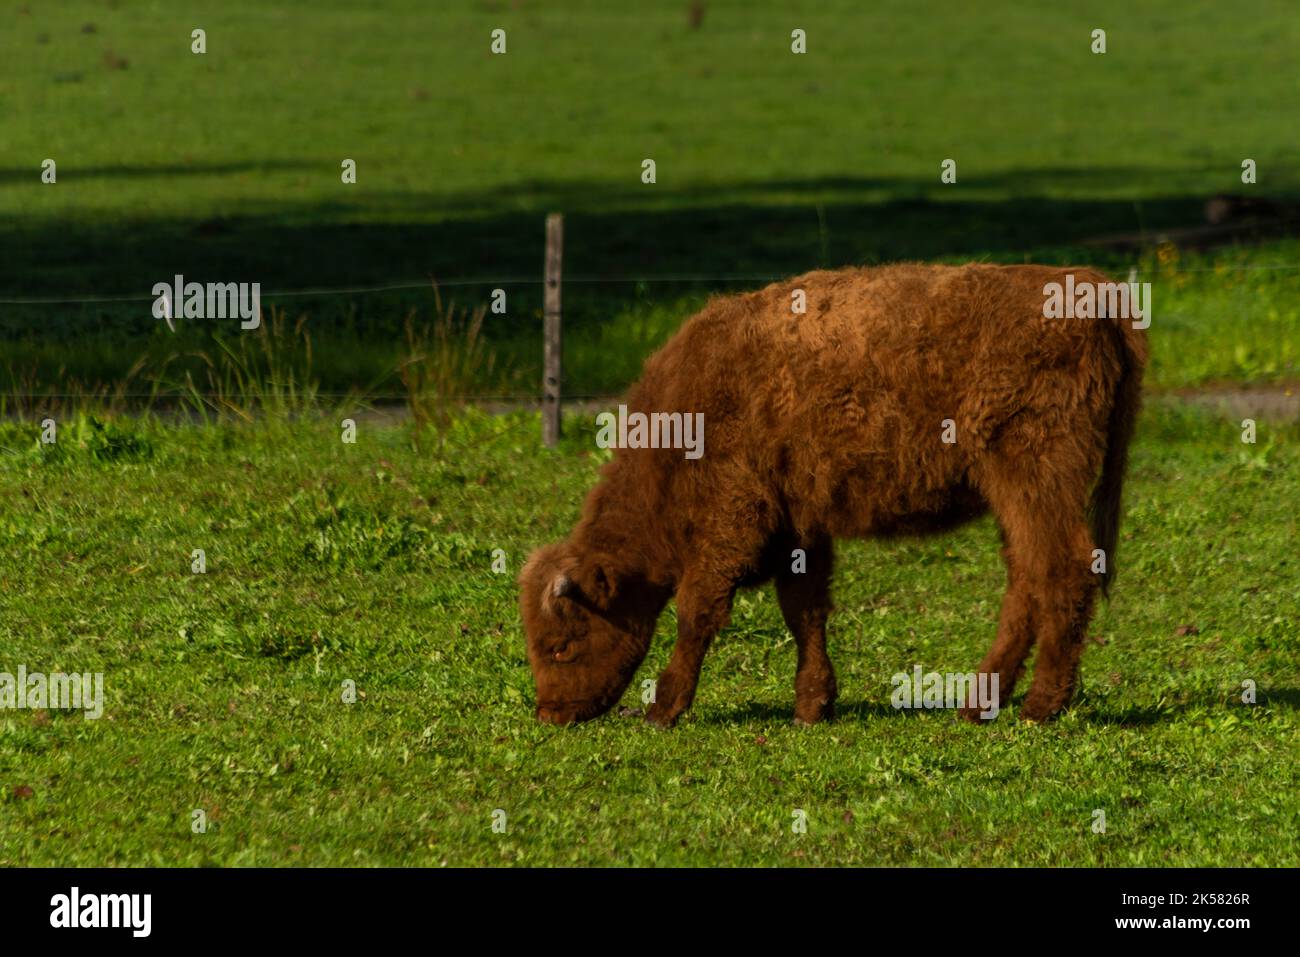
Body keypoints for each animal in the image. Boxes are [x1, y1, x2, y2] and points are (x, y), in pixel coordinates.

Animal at [520, 263, 1147, 728]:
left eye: (560, 647)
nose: (551, 713)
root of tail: (1093, 288)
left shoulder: (732, 521)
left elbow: (698, 612)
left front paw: (664, 708)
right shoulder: (797, 528)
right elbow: (805, 611)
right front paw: (812, 704)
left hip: (1038, 479)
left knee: (1062, 571)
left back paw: (1040, 707)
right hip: (1017, 496)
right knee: (1026, 581)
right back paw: (978, 704)